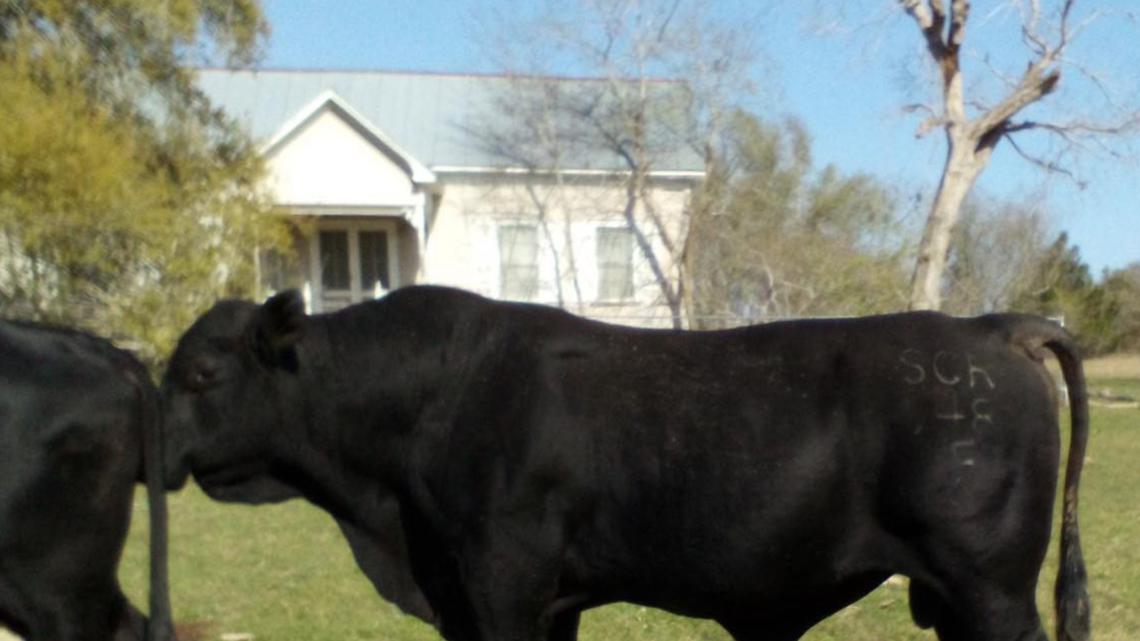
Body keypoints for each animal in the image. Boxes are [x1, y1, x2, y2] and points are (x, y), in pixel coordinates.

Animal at [160, 286, 1090, 641]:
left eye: (200, 372)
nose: (153, 442)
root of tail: (988, 324)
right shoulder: (545, 597)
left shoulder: (502, 580)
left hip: (992, 587)